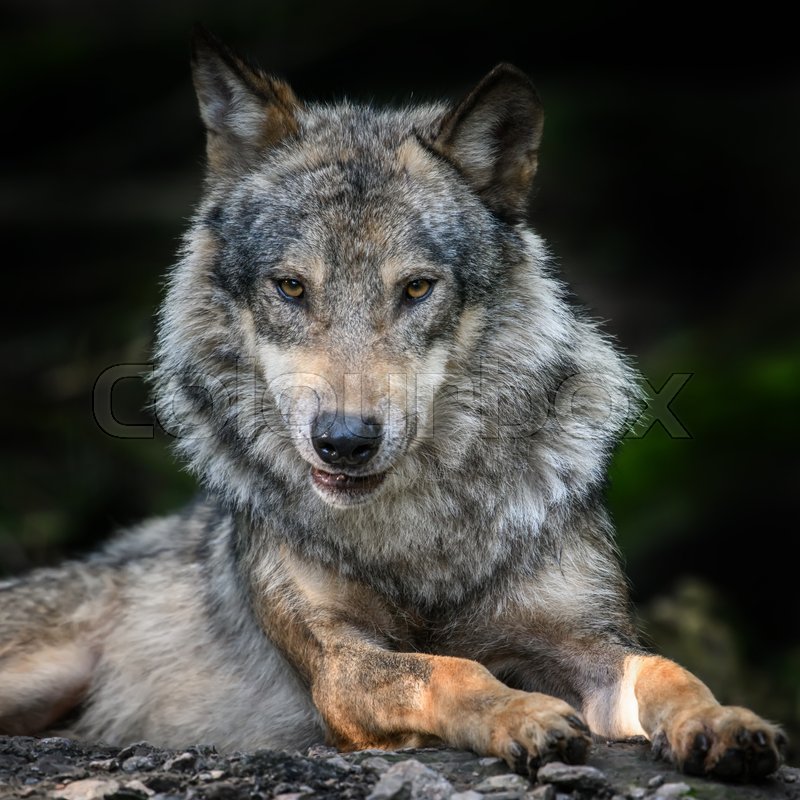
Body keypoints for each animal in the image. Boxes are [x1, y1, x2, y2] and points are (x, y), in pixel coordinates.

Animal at [0, 28, 786, 783]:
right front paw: (520, 715)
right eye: (291, 287)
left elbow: (664, 670)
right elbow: (448, 669)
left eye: (415, 289)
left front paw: (722, 723)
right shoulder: (339, 663)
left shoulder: (584, 638)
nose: (345, 440)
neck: (413, 535)